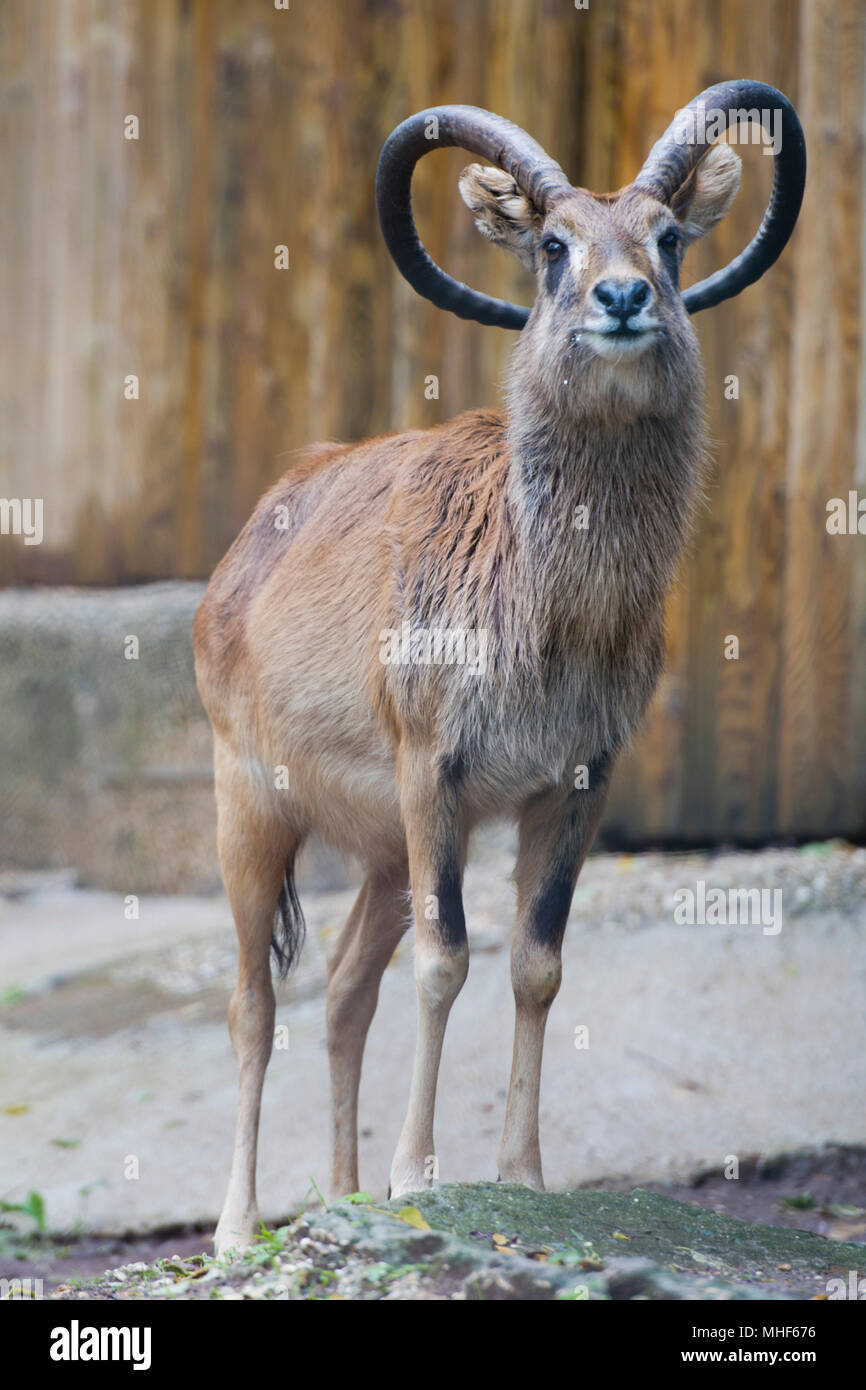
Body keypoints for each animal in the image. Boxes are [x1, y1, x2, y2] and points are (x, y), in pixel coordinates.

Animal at [194, 81, 805, 1255]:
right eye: (553, 243)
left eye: (664, 236)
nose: (622, 297)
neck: (548, 606)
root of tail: (250, 541)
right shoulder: (431, 768)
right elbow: (447, 962)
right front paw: (413, 1175)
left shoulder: (573, 783)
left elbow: (534, 962)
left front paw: (522, 1175)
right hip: (252, 804)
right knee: (254, 1001)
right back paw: (239, 1228)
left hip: (381, 853)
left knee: (345, 986)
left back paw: (337, 1196)